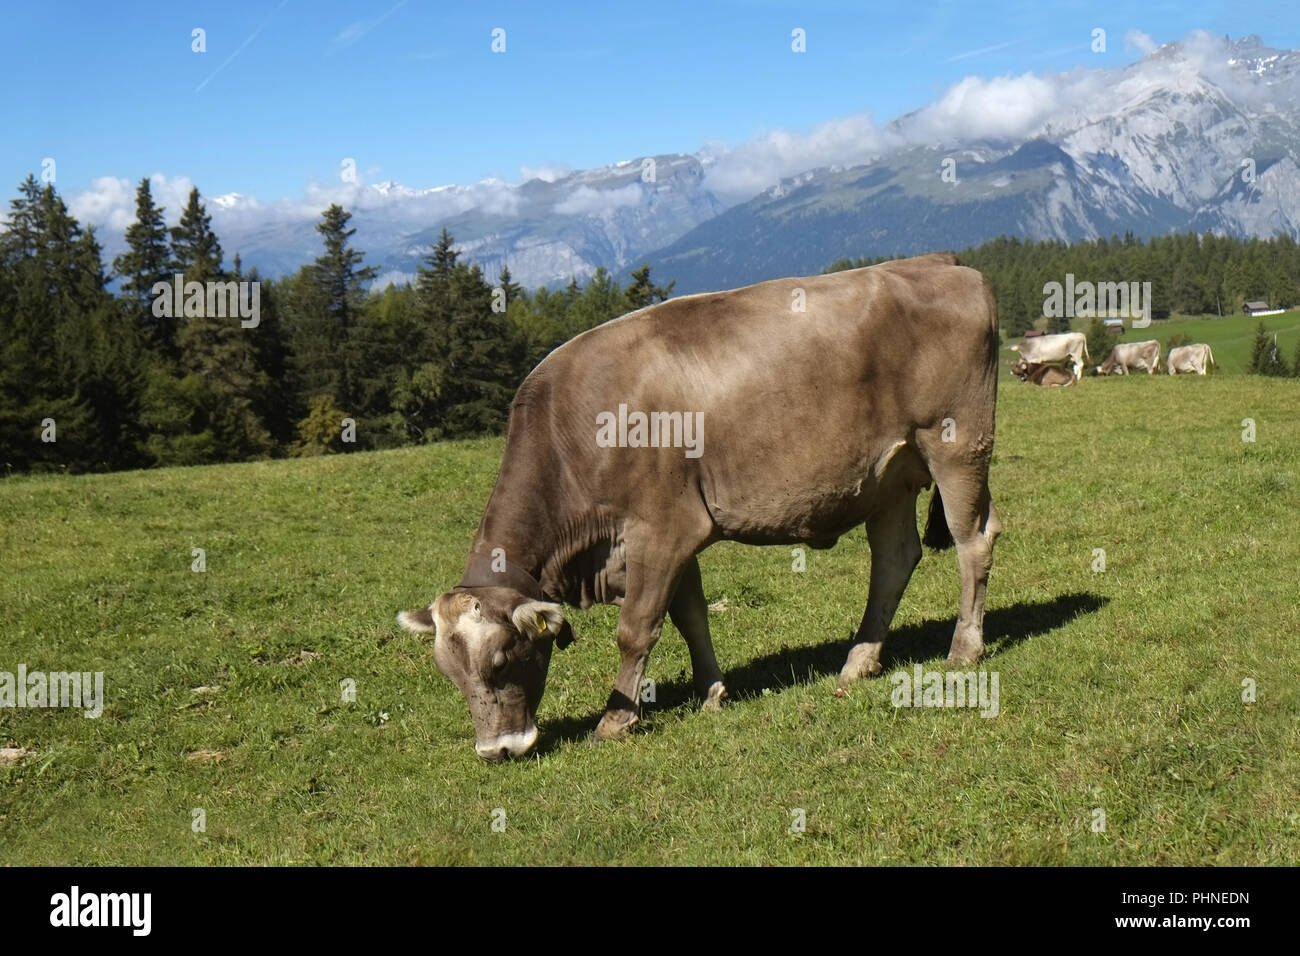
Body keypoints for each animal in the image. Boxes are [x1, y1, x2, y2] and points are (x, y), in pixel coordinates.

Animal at [397, 253, 1002, 761]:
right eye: (450, 673)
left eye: (501, 660)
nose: (498, 750)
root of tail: (941, 262)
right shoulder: (677, 531)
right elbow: (689, 616)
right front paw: (712, 690)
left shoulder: (661, 530)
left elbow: (636, 627)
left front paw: (616, 719)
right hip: (889, 477)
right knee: (895, 559)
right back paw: (859, 661)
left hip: (955, 445)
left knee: (973, 540)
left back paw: (964, 649)